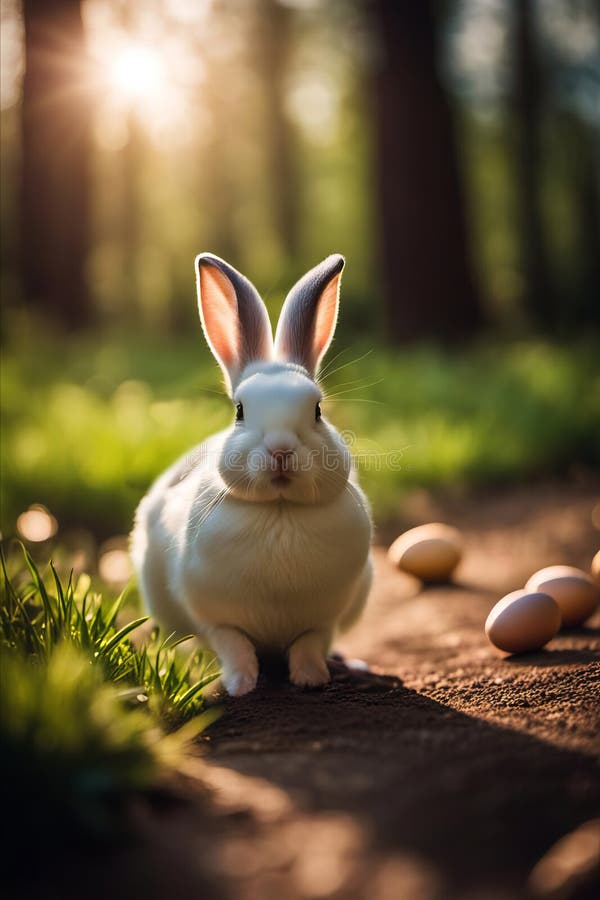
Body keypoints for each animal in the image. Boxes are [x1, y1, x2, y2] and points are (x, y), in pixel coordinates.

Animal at [130, 252, 373, 696]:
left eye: (317, 410)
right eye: (240, 411)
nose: (280, 451)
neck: (279, 510)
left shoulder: (323, 620)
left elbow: (309, 645)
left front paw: (311, 679)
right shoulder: (217, 619)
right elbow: (234, 646)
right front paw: (241, 685)